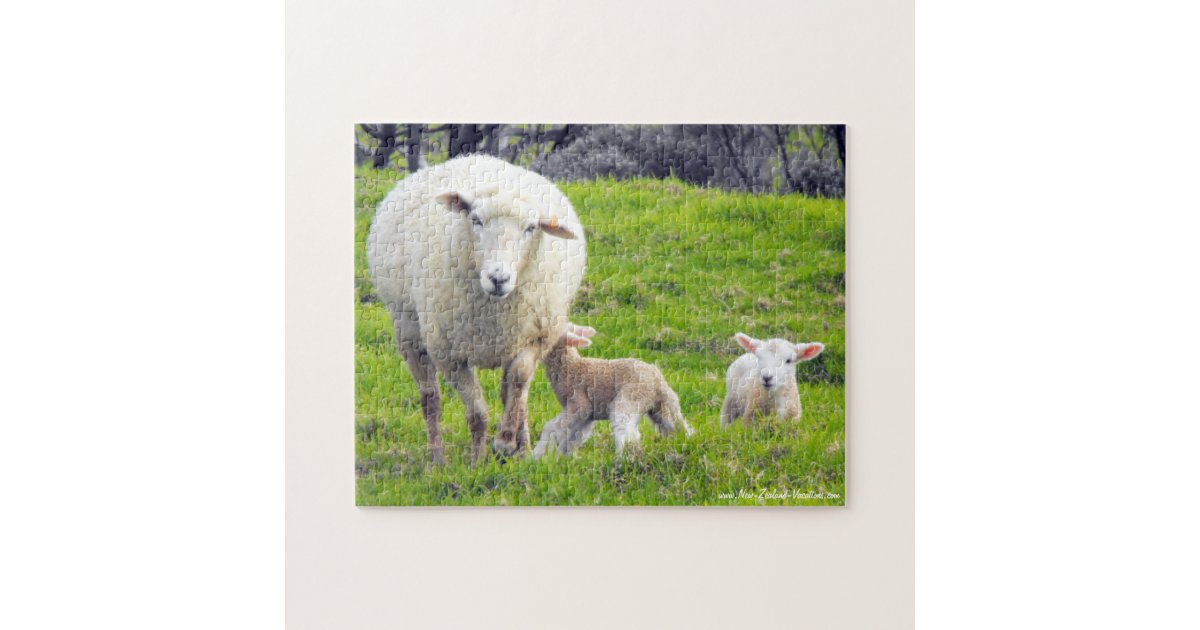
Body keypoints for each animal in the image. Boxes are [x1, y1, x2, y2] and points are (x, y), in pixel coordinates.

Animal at [367, 155, 587, 463]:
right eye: (476, 220)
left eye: (530, 228)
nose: (498, 278)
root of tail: (471, 157)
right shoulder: (449, 355)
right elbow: (477, 413)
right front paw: (476, 461)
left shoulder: (537, 337)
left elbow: (518, 383)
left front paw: (507, 440)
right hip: (408, 330)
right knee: (430, 399)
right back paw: (437, 459)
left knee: (516, 394)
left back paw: (523, 449)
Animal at [532, 323, 693, 458]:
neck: (570, 366)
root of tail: (658, 381)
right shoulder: (587, 415)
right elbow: (574, 436)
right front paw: (563, 458)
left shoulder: (578, 403)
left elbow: (551, 428)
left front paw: (536, 457)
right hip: (661, 407)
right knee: (676, 427)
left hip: (630, 398)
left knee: (627, 432)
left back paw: (623, 459)